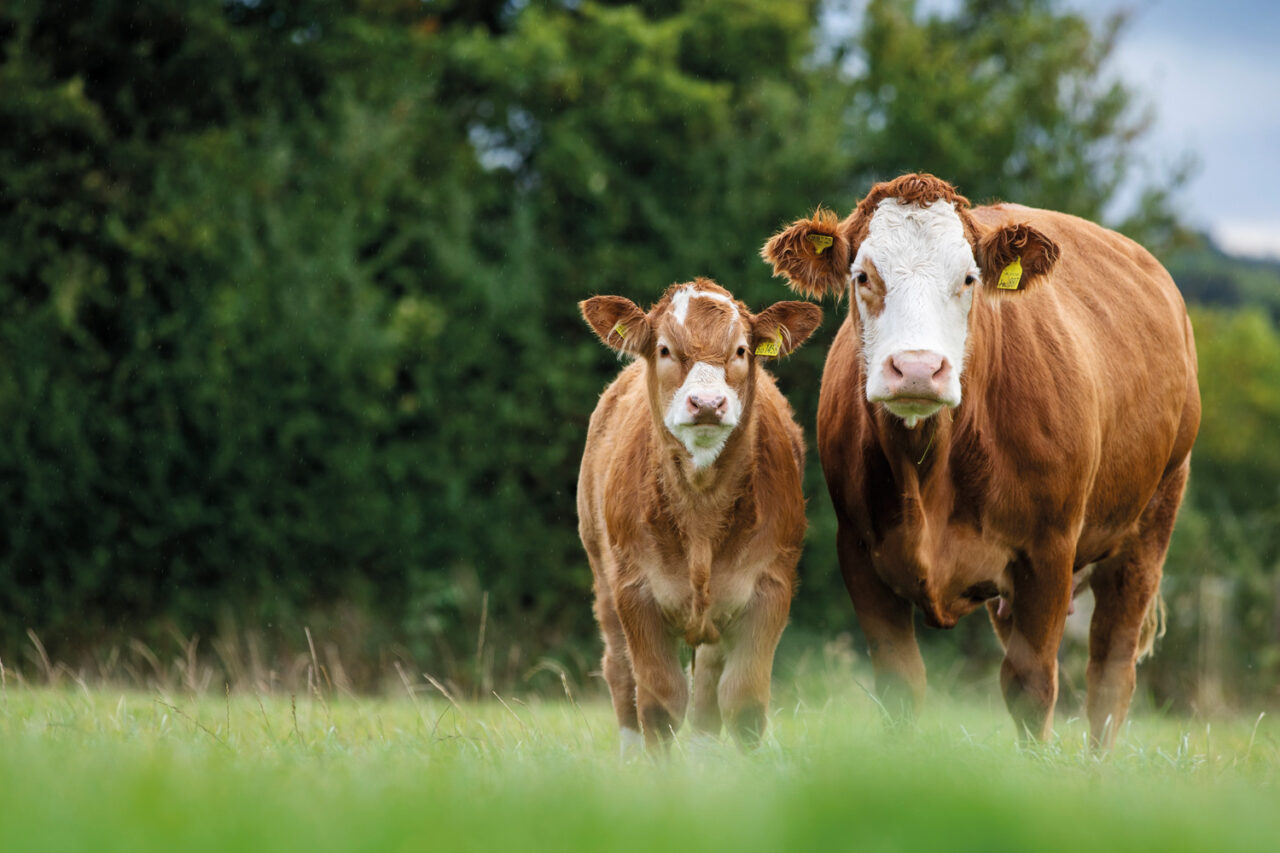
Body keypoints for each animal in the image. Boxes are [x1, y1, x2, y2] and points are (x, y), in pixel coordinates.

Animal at [578, 278, 822, 752]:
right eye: (665, 349)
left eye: (742, 350)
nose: (707, 403)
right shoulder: (635, 589)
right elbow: (658, 703)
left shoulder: (770, 587)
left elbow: (743, 702)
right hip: (602, 571)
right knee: (620, 671)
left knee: (708, 689)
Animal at [761, 174, 1200, 747]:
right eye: (863, 276)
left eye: (969, 278)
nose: (918, 369)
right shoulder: (858, 552)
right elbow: (901, 684)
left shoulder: (1049, 552)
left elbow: (1032, 687)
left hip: (1149, 526)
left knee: (1110, 676)